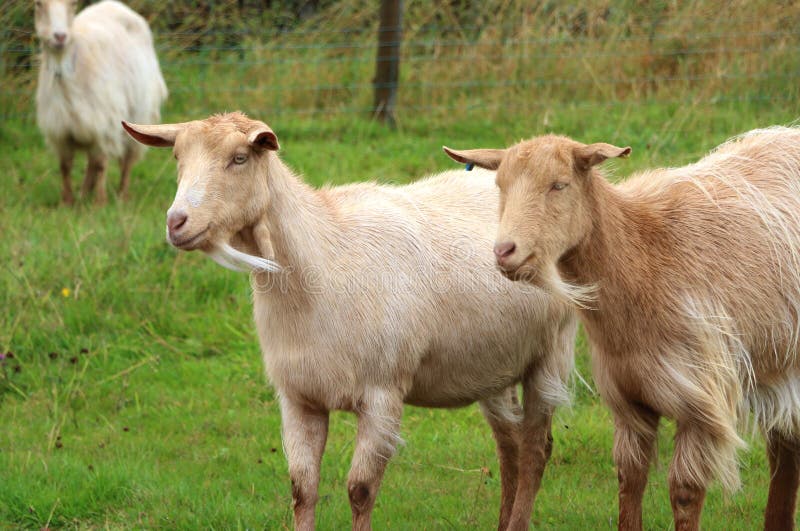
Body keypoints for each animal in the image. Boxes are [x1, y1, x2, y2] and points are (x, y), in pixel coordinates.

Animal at [35, 0, 167, 204]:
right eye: (38, 4)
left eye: (73, 4)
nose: (60, 36)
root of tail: (114, 5)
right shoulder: (61, 130)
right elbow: (65, 166)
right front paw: (68, 201)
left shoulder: (106, 124)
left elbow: (101, 165)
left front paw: (100, 202)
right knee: (91, 160)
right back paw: (83, 194)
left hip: (140, 111)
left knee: (126, 160)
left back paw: (122, 195)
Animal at [122, 112, 576, 530]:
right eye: (178, 157)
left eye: (239, 158)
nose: (176, 222)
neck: (321, 261)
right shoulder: (298, 398)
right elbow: (302, 488)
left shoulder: (382, 395)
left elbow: (360, 490)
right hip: (495, 363)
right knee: (509, 446)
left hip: (549, 353)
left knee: (536, 450)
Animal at [445, 127, 800, 530]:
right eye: (500, 186)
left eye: (559, 185)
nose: (505, 251)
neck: (644, 254)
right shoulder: (628, 399)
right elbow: (629, 481)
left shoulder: (702, 404)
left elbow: (685, 492)